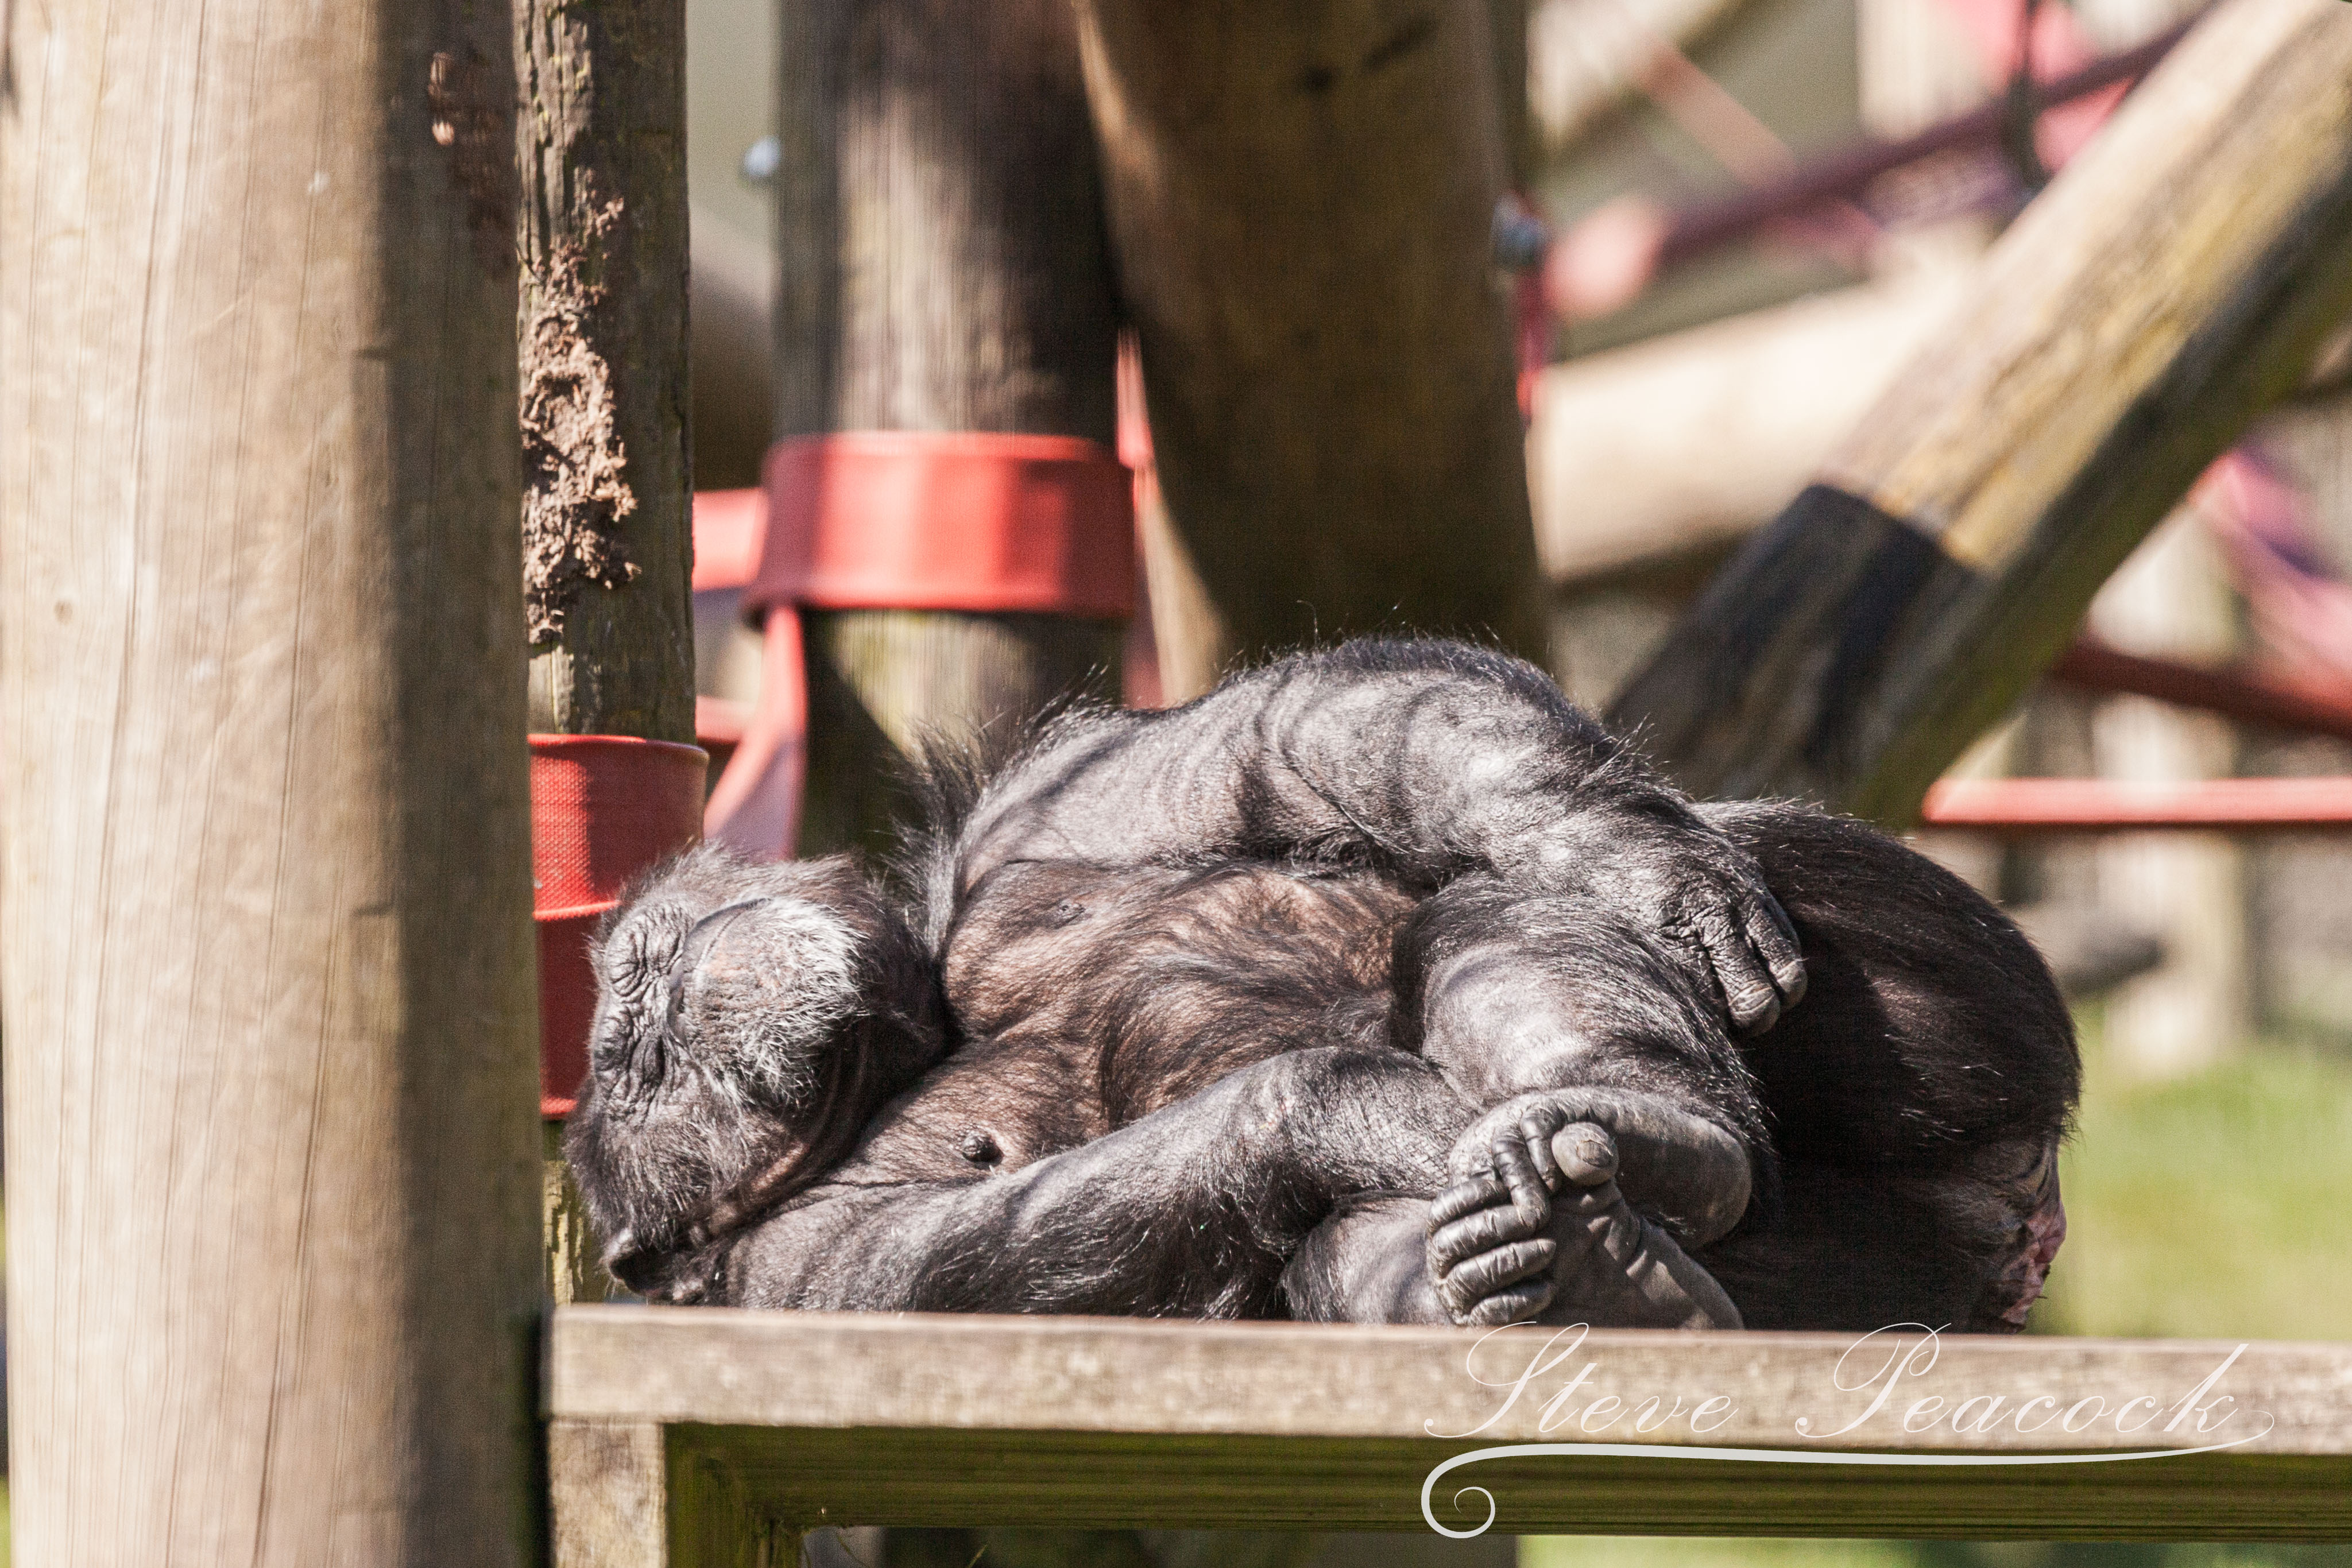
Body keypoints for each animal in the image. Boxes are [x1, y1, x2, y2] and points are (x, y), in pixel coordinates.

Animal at [565, 640, 2077, 1333]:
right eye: (640, 1057)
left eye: (637, 1009)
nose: (656, 1020)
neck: (915, 1037)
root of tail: (2015, 1207)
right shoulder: (799, 1270)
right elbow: (1031, 1240)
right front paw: (1370, 1111)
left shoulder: (1020, 827)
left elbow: (1287, 736)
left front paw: (1642, 869)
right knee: (1345, 1241)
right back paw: (1604, 1257)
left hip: (1925, 965)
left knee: (1514, 884)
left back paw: (1632, 1118)